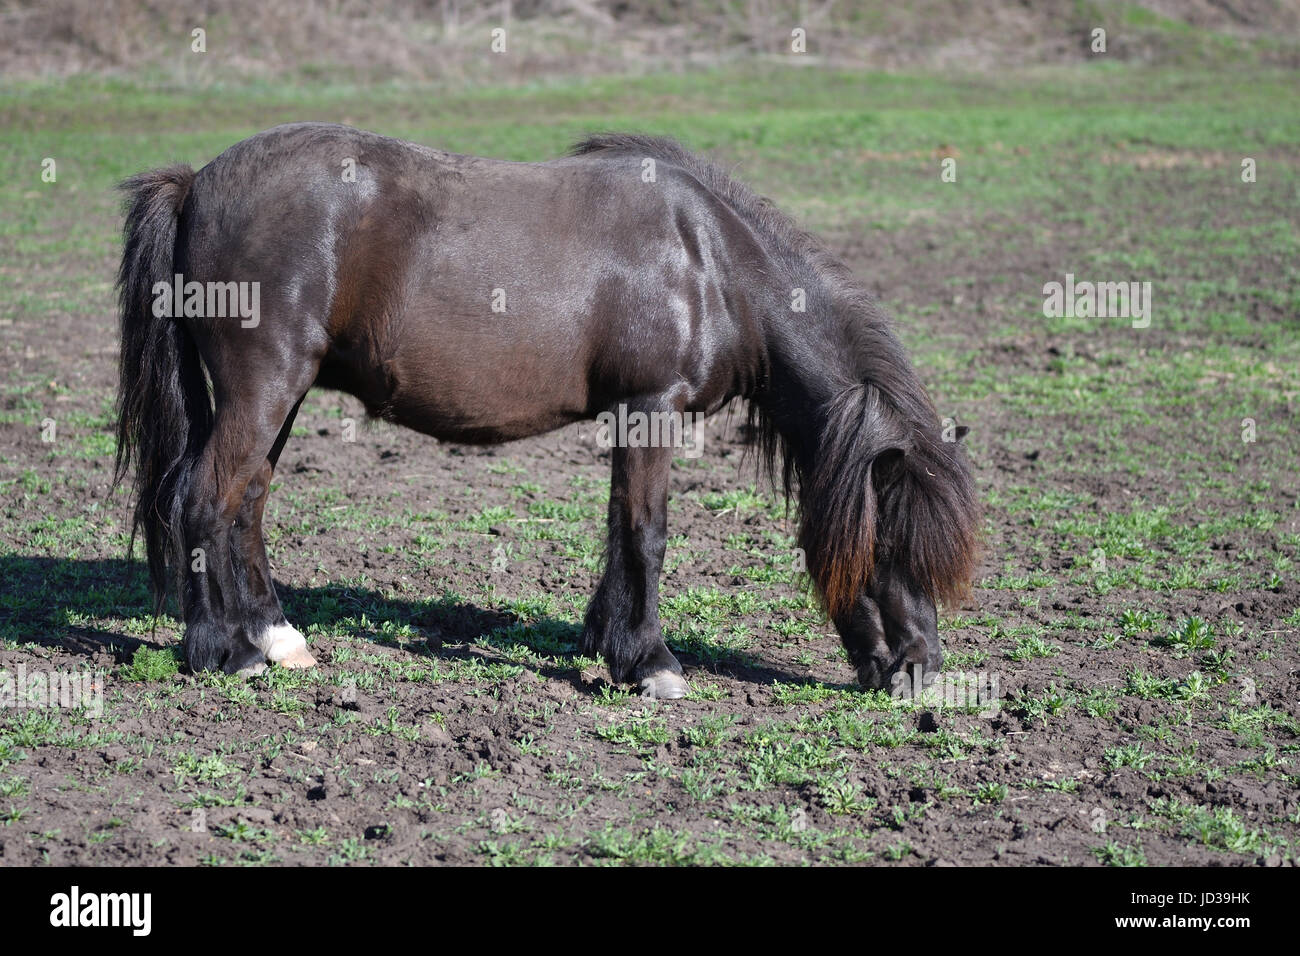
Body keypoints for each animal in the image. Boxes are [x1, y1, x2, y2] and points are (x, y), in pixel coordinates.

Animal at [113, 124, 979, 699]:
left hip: (281, 395)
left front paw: (607, 642)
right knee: (202, 498)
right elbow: (647, 534)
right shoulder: (653, 407)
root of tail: (196, 183)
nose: (919, 671)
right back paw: (219, 650)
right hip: (265, 387)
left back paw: (276, 636)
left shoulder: (632, 416)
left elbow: (620, 529)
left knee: (246, 501)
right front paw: (651, 664)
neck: (708, 261)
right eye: (893, 543)